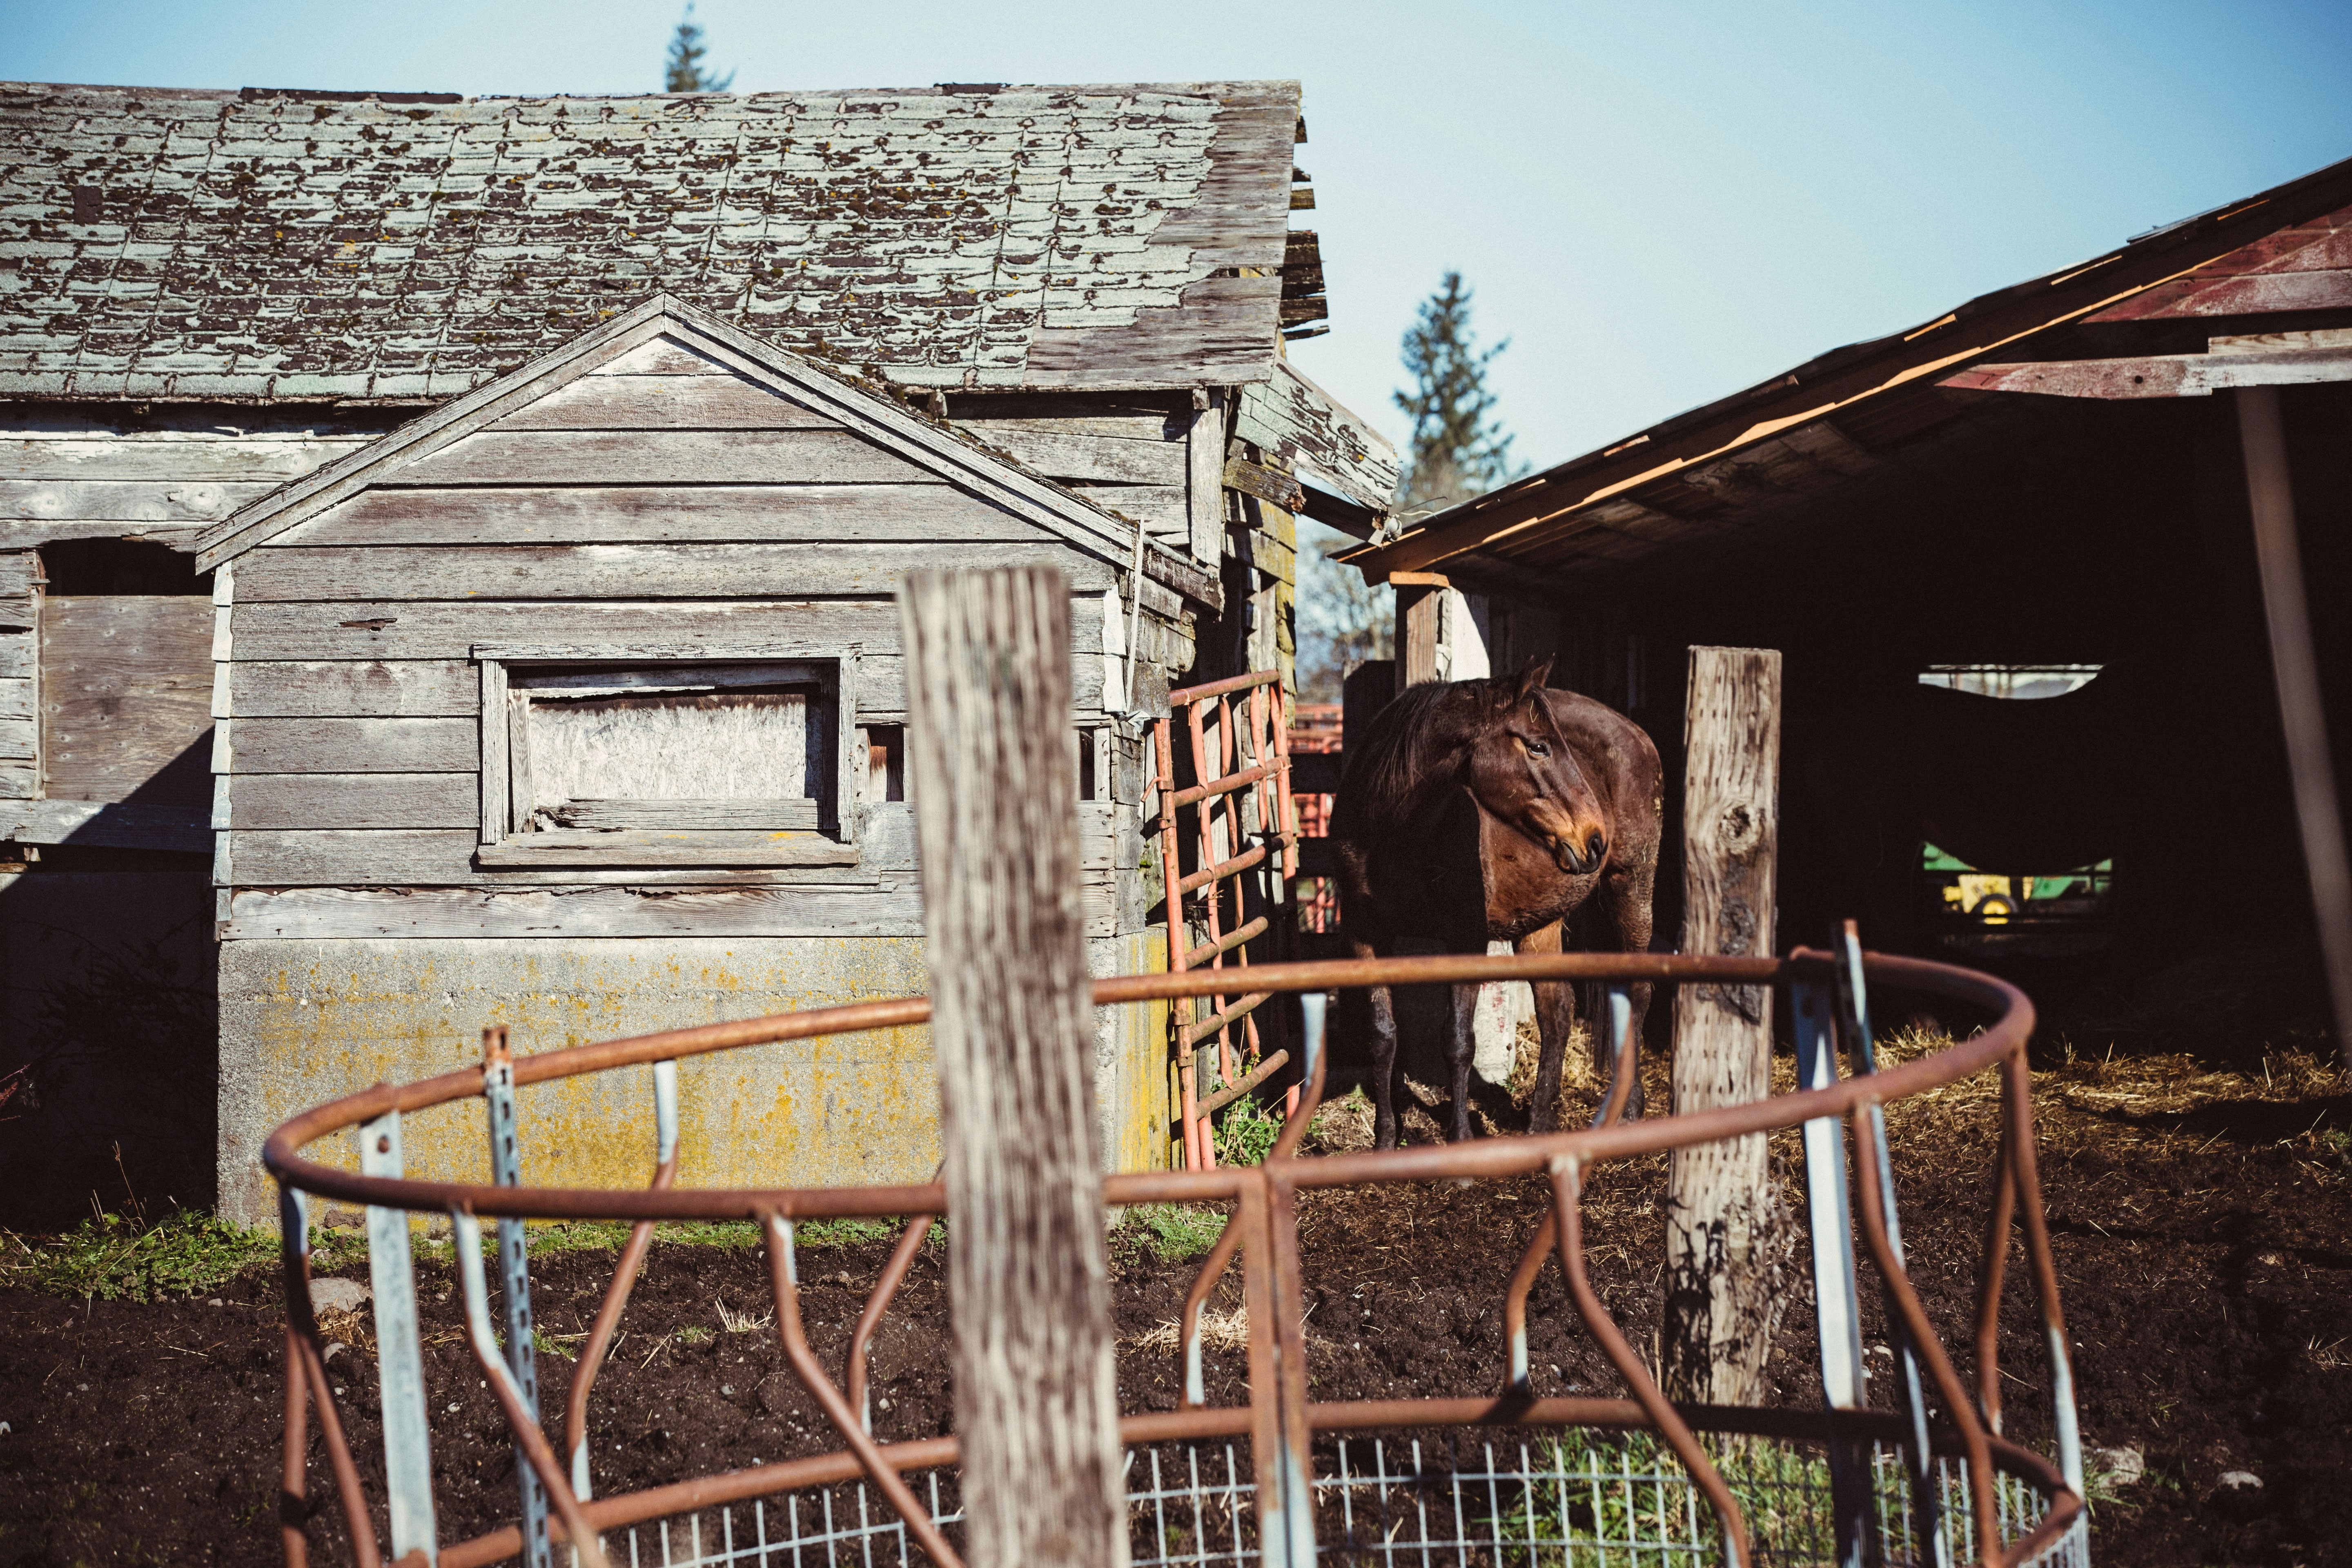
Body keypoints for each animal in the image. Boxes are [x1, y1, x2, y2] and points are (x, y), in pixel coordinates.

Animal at [1330, 659, 1662, 1148]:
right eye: (1539, 746)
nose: (1595, 839)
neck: (1391, 830)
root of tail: (1636, 732)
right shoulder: (1365, 935)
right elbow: (1383, 1037)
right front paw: (1385, 1139)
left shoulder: (1466, 939)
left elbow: (1458, 1041)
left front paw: (1461, 1136)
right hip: (1540, 923)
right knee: (1557, 1009)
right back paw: (1540, 1121)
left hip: (1631, 886)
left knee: (1637, 994)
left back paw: (1631, 1107)